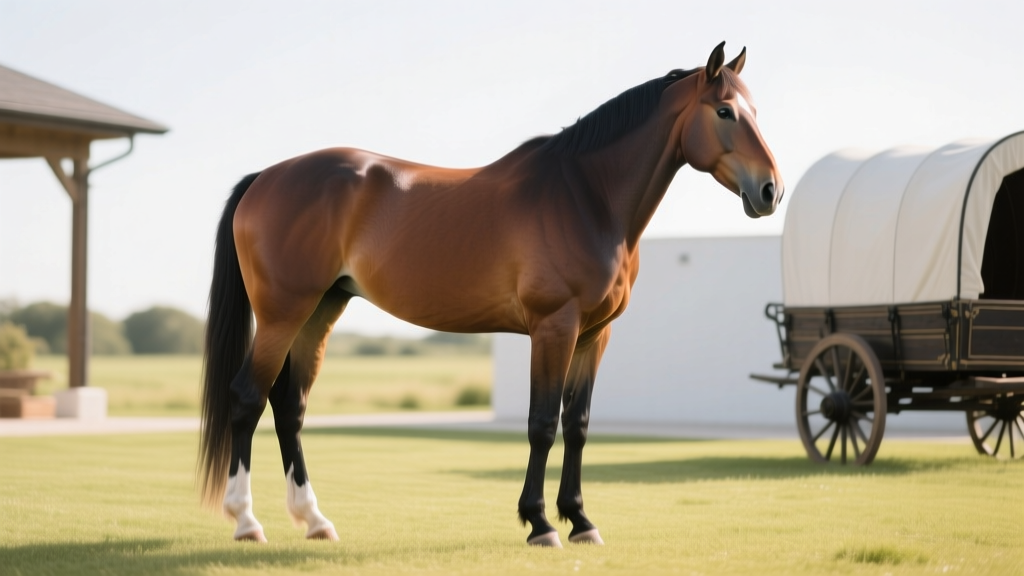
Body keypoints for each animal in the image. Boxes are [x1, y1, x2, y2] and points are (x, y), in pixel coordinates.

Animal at [199, 41, 783, 547]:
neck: (585, 197)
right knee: (248, 399)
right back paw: (246, 521)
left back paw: (315, 520)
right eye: (725, 111)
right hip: (282, 314)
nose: (770, 190)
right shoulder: (554, 327)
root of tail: (265, 178)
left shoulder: (594, 335)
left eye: (755, 109)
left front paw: (580, 520)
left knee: (289, 406)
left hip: (320, 311)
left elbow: (578, 425)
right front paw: (540, 524)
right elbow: (542, 424)